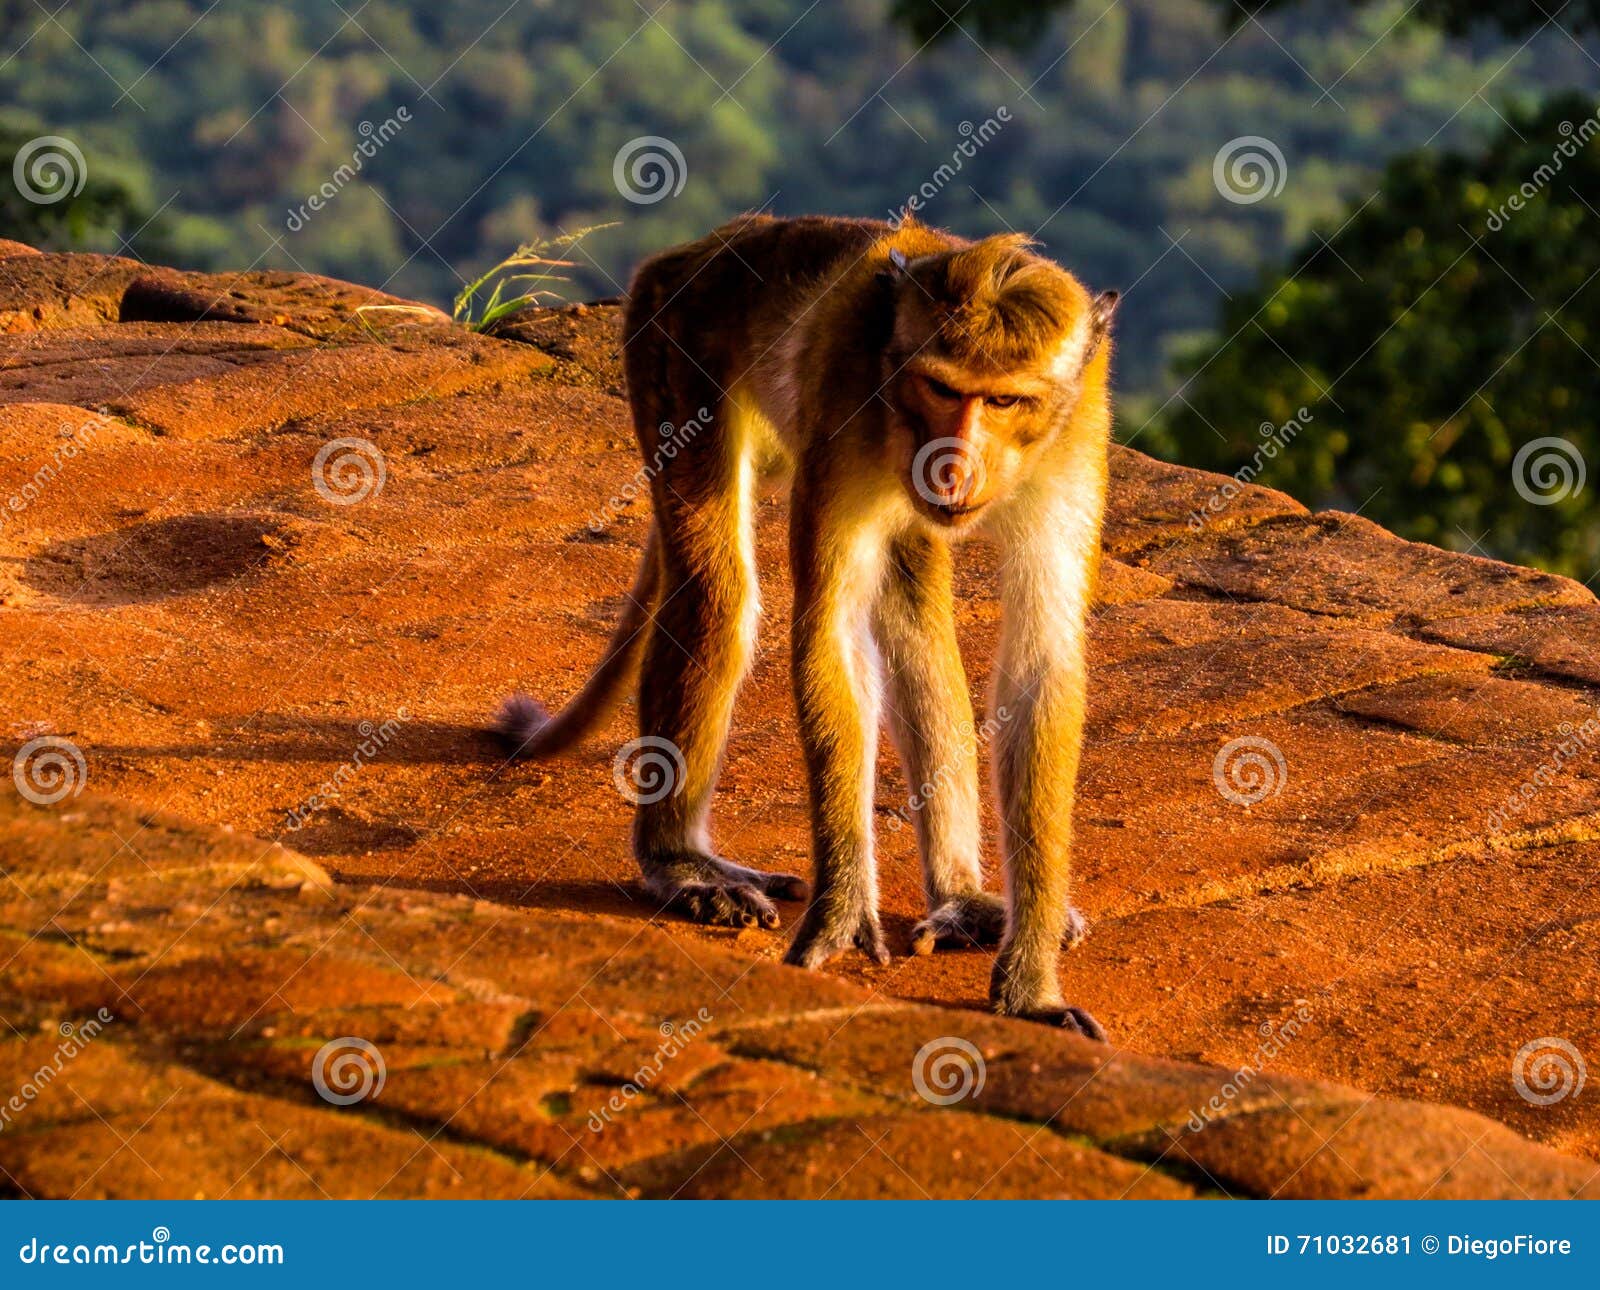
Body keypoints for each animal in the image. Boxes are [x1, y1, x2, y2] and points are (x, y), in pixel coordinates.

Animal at [495, 213, 1117, 1038]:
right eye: (942, 388)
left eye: (1006, 402)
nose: (951, 464)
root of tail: (703, 247)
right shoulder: (846, 404)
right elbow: (829, 628)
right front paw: (845, 908)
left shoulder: (1076, 436)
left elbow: (1040, 666)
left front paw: (1029, 982)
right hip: (669, 343)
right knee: (716, 595)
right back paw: (677, 862)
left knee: (913, 613)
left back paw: (958, 896)